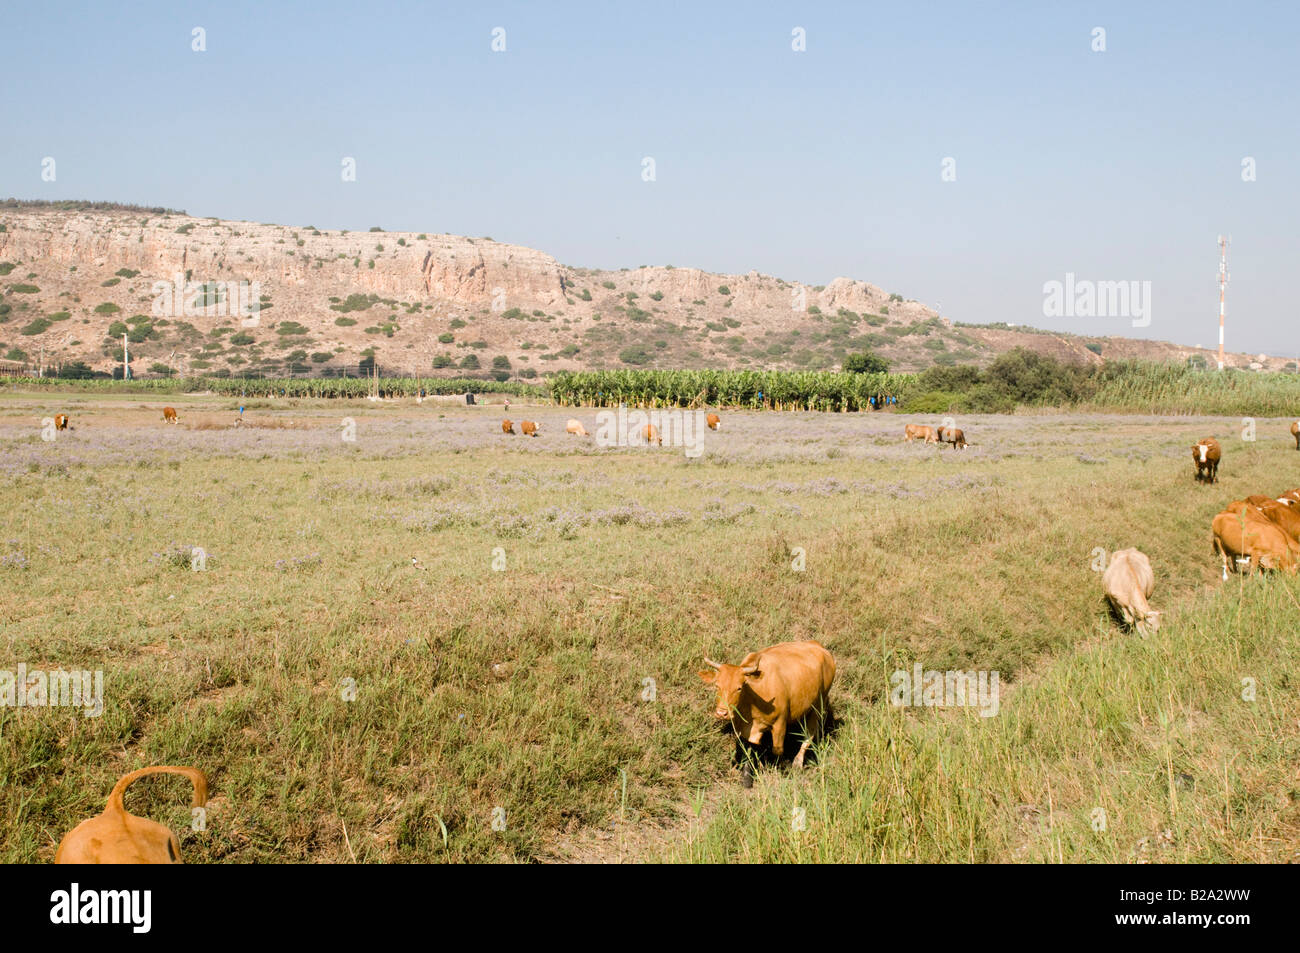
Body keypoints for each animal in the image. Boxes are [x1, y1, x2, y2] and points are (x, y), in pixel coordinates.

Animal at [698, 640, 835, 768]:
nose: (722, 713)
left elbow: (777, 750)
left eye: (739, 688)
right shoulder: (741, 727)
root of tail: (818, 646)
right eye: (717, 685)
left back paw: (797, 762)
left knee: (809, 734)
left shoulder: (780, 723)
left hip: (818, 706)